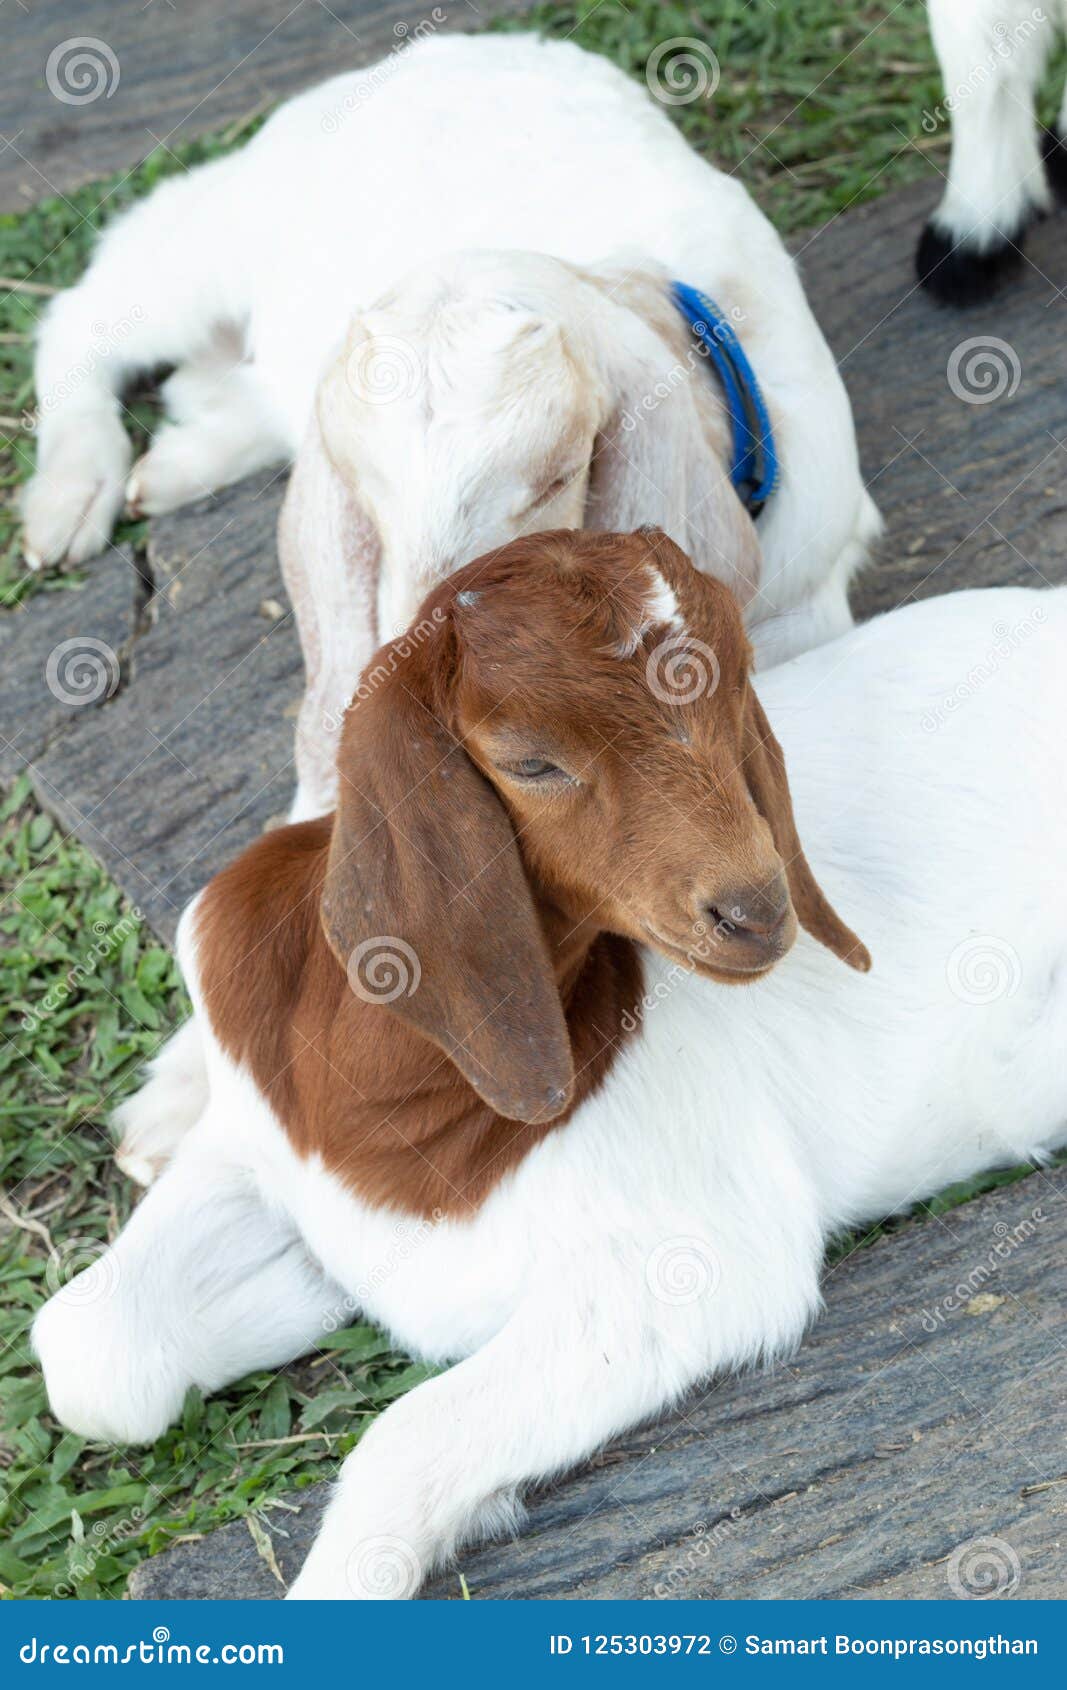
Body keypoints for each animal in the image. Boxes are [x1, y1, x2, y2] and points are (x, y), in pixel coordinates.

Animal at [34, 529, 1067, 1599]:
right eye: (529, 762)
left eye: (737, 694)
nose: (757, 912)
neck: (409, 1097)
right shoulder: (267, 1134)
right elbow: (87, 1352)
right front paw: (304, 1288)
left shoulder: (699, 1263)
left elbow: (405, 1434)